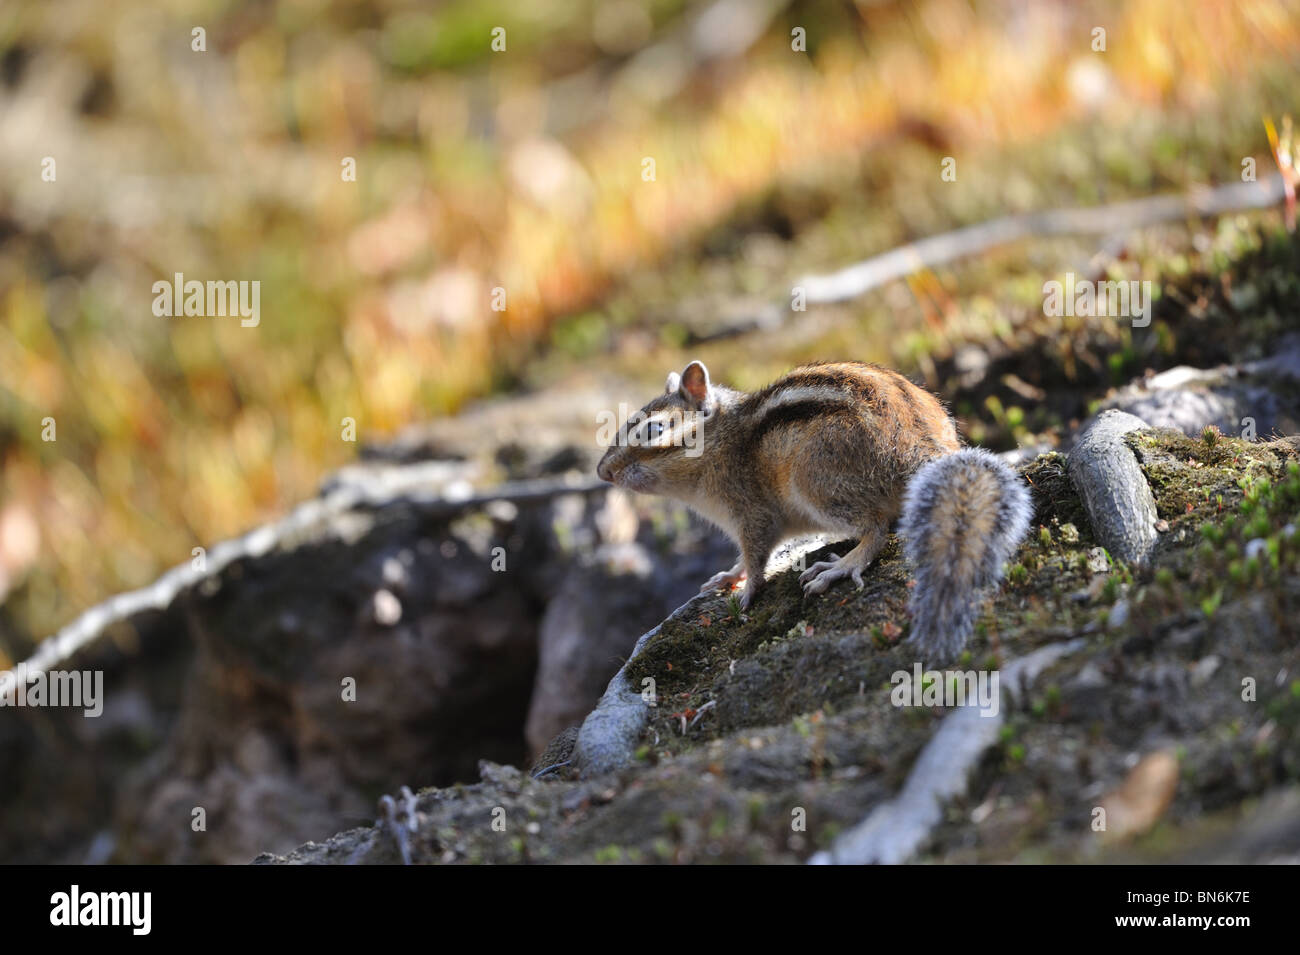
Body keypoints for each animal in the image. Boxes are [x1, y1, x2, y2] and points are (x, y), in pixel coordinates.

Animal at [595, 360, 1032, 660]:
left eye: (654, 430)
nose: (602, 472)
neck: (721, 441)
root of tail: (924, 452)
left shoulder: (752, 514)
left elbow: (757, 557)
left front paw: (747, 591)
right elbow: (743, 558)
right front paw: (728, 576)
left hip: (817, 482)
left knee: (877, 528)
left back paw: (840, 566)